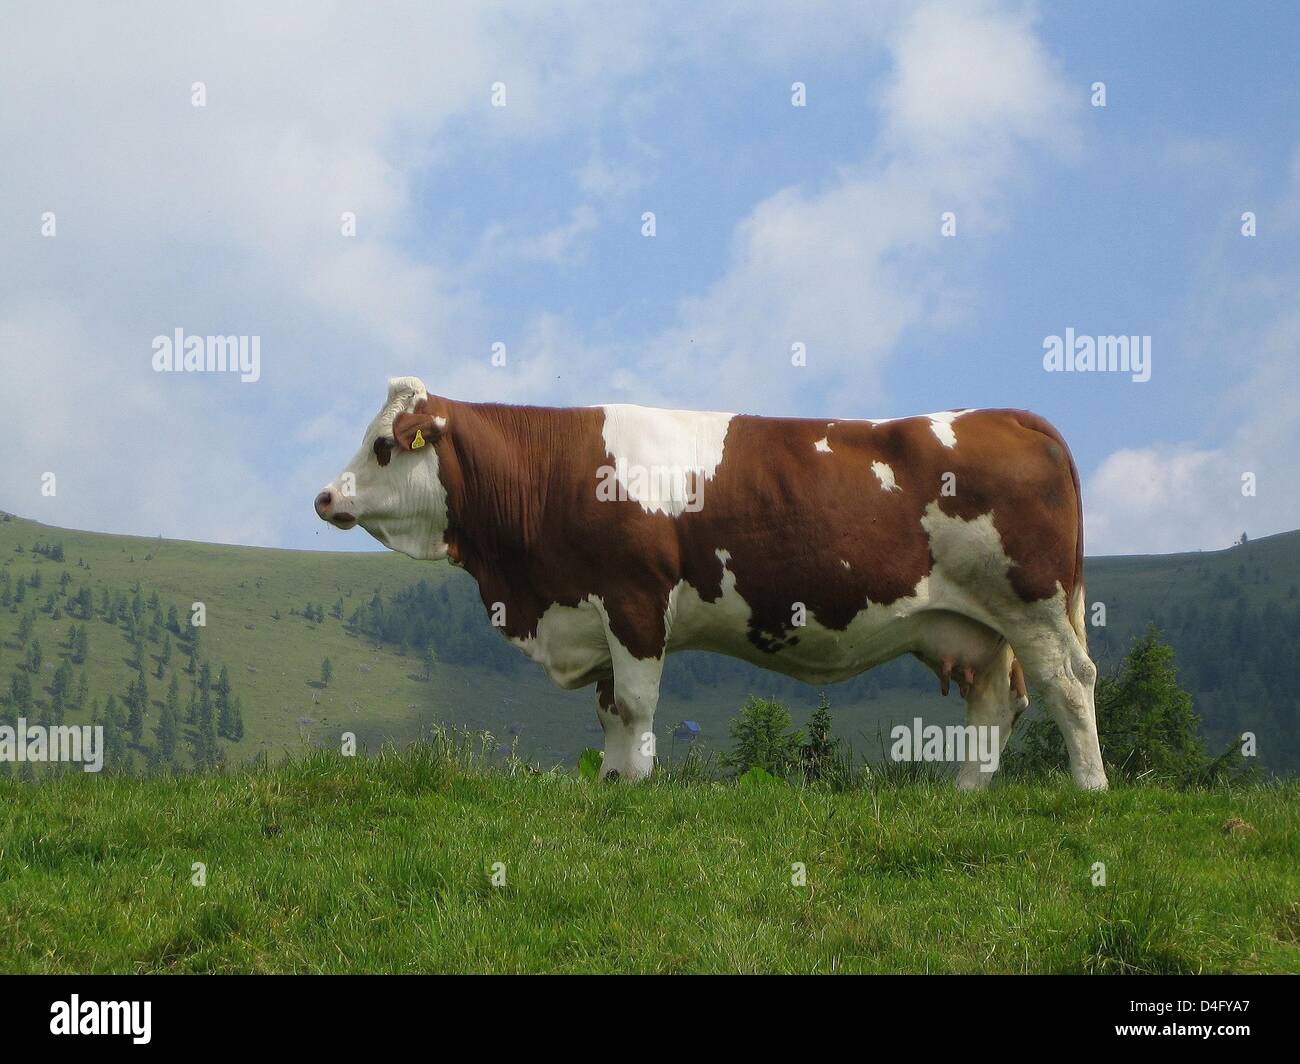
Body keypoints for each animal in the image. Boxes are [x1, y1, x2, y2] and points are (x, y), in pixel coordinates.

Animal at [315, 376, 1106, 790]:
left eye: (383, 446)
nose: (325, 496)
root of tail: (1008, 415)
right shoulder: (595, 613)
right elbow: (608, 710)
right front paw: (610, 783)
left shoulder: (635, 600)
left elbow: (634, 706)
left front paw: (636, 785)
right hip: (980, 623)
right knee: (994, 701)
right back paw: (964, 795)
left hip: (1032, 604)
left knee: (1068, 682)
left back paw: (1089, 788)